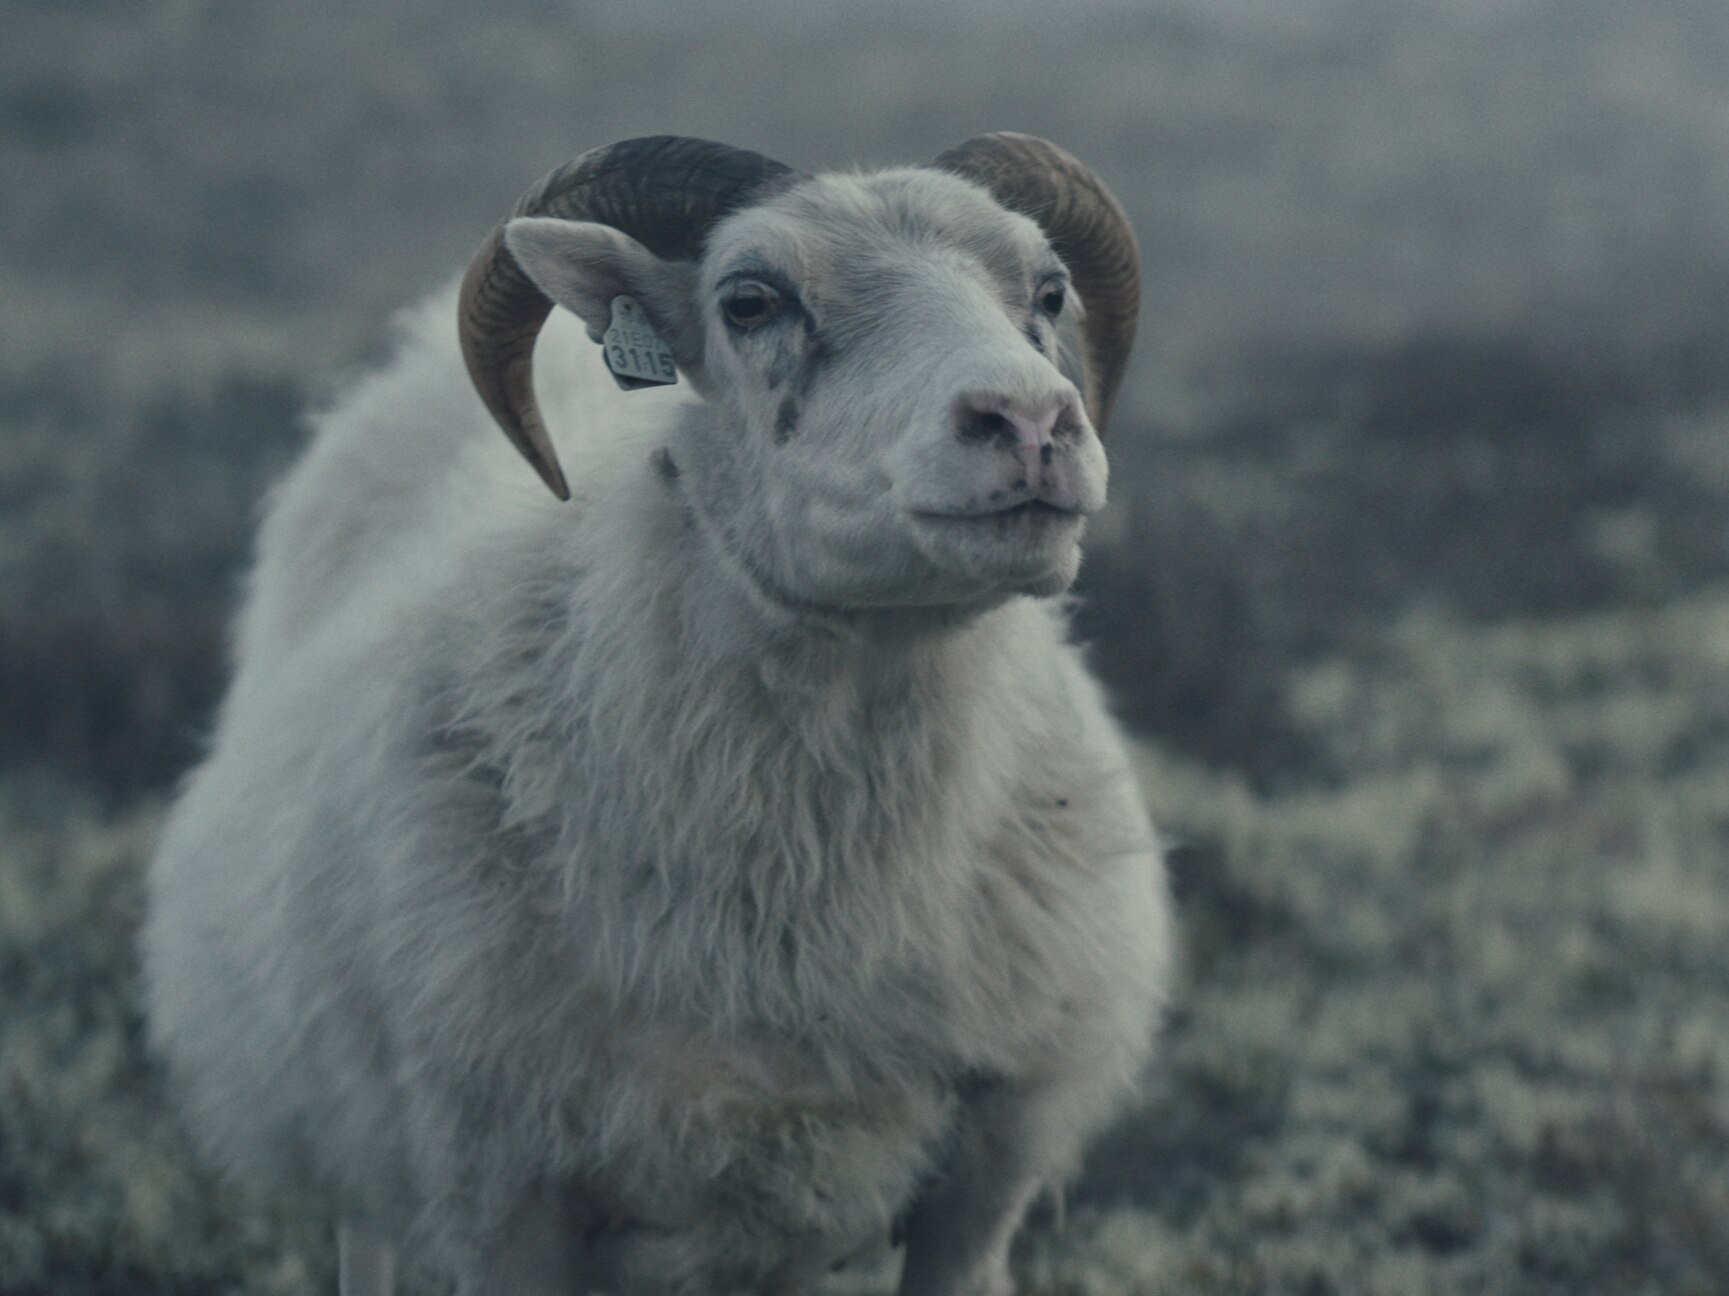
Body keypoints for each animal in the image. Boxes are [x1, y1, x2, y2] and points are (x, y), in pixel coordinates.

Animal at [143, 133, 1173, 1296]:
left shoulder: (985, 1183)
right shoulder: (505, 1199)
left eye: (1047, 291)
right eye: (751, 301)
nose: (1033, 423)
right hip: (363, 1152)